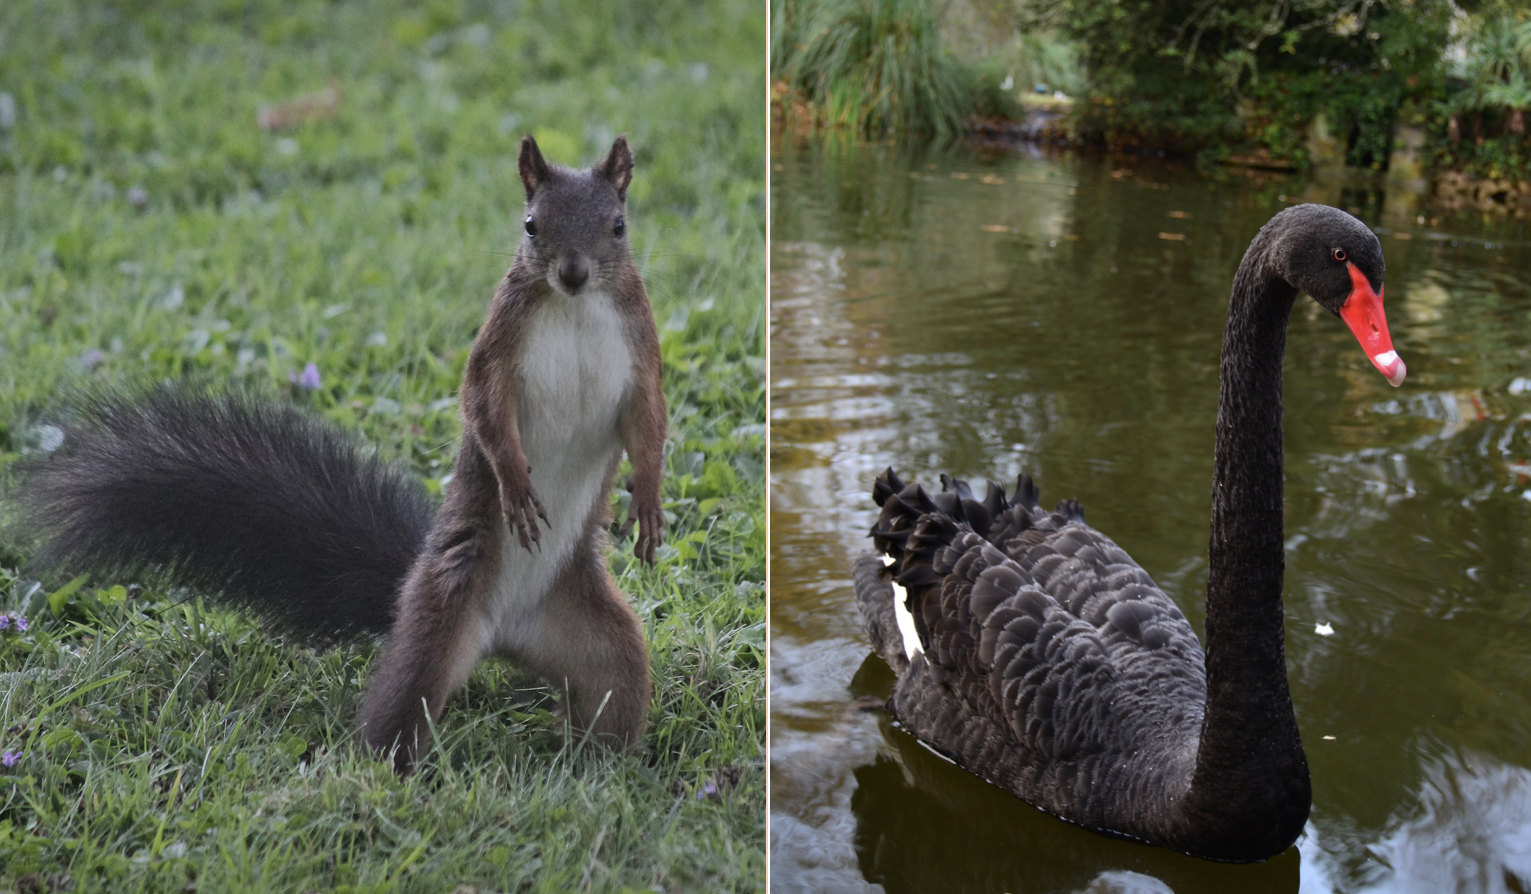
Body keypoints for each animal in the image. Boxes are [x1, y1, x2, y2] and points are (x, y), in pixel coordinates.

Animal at [19, 135, 667, 773]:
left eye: (617, 226)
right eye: (531, 225)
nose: (574, 273)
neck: (575, 308)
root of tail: (504, 635)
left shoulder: (640, 348)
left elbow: (648, 422)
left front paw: (649, 501)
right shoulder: (498, 345)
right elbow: (484, 407)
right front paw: (514, 482)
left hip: (599, 637)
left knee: (616, 681)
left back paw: (599, 764)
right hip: (437, 623)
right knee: (397, 709)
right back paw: (385, 774)